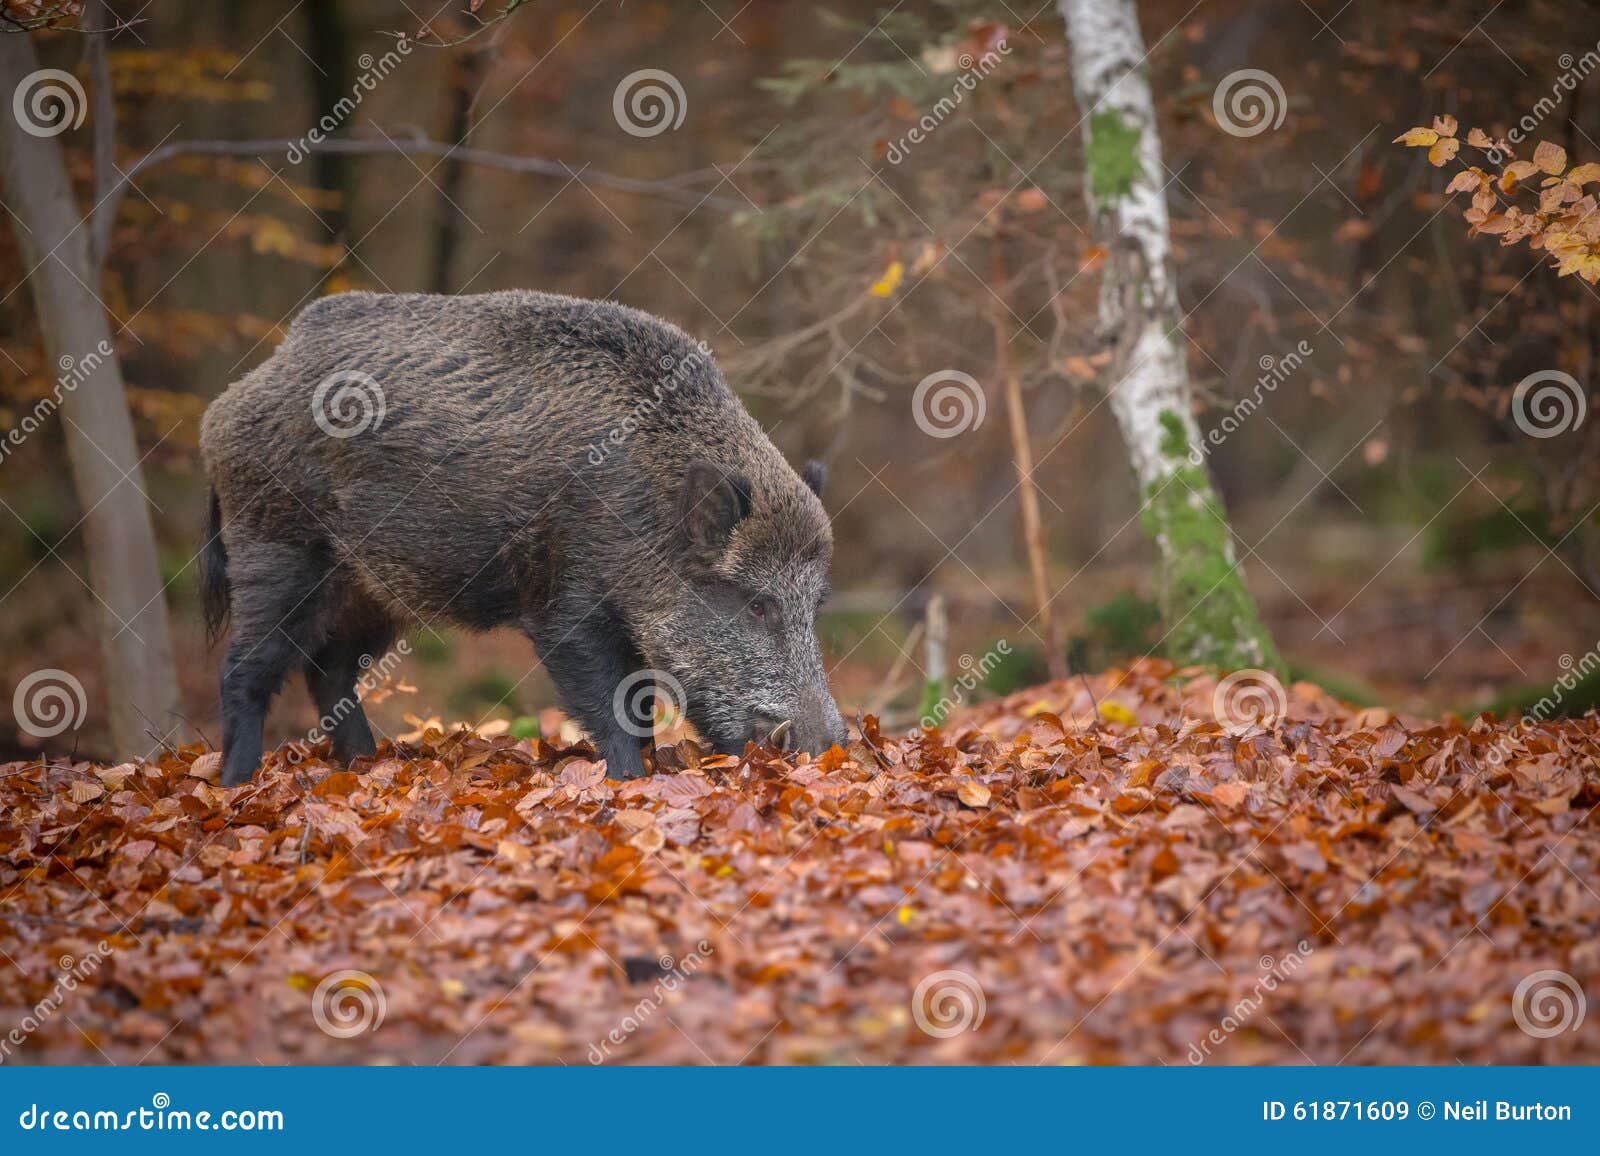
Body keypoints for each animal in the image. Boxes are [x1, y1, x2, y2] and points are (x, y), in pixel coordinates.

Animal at [198, 290, 848, 786]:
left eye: (816, 606)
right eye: (758, 604)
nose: (827, 746)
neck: (648, 509)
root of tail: (227, 405)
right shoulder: (563, 604)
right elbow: (610, 703)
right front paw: (630, 782)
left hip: (374, 589)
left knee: (328, 670)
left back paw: (362, 764)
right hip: (276, 548)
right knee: (245, 668)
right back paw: (237, 782)